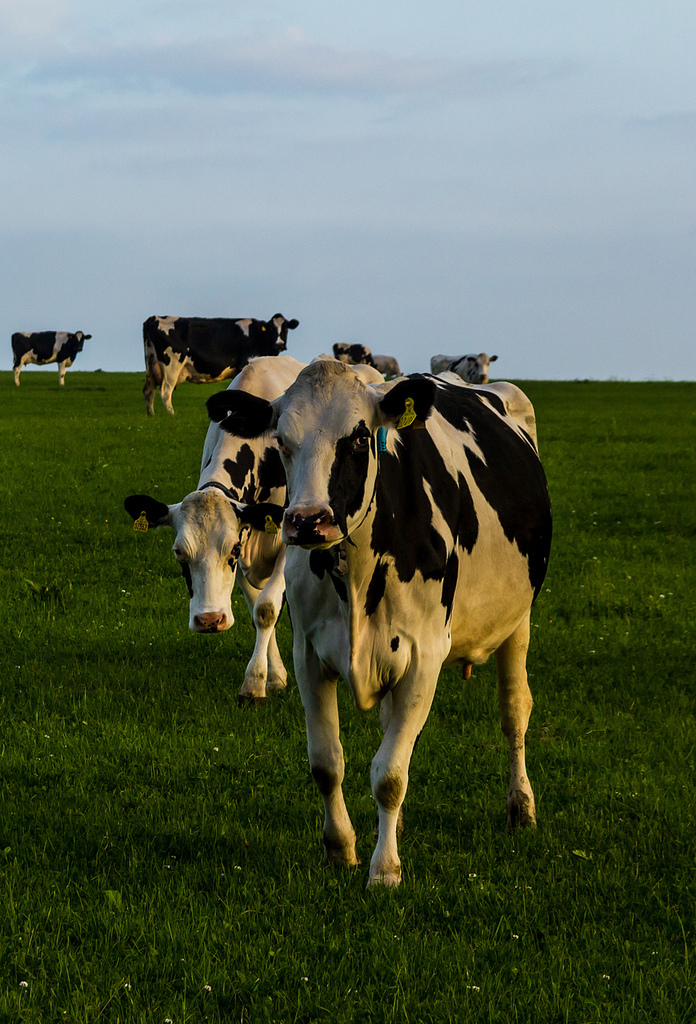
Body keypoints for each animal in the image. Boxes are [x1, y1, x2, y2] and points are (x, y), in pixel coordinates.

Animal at [125, 355, 305, 704]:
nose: (210, 620)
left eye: (231, 548)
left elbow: (267, 608)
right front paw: (274, 677)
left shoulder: (283, 543)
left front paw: (253, 684)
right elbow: (257, 611)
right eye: (179, 553)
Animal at [142, 313, 299, 415]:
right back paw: (172, 415)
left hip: (151, 363)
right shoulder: (245, 363)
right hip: (172, 365)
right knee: (165, 391)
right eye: (272, 329)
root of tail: (154, 318)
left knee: (148, 390)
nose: (280, 344)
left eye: (285, 329)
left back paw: (151, 415)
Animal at [216, 360, 552, 885]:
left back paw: (521, 807)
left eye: (358, 438)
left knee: (515, 713)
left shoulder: (424, 656)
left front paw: (385, 869)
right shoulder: (308, 654)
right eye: (282, 441)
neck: (354, 576)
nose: (306, 522)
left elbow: (390, 775)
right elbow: (327, 763)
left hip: (518, 619)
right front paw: (341, 848)